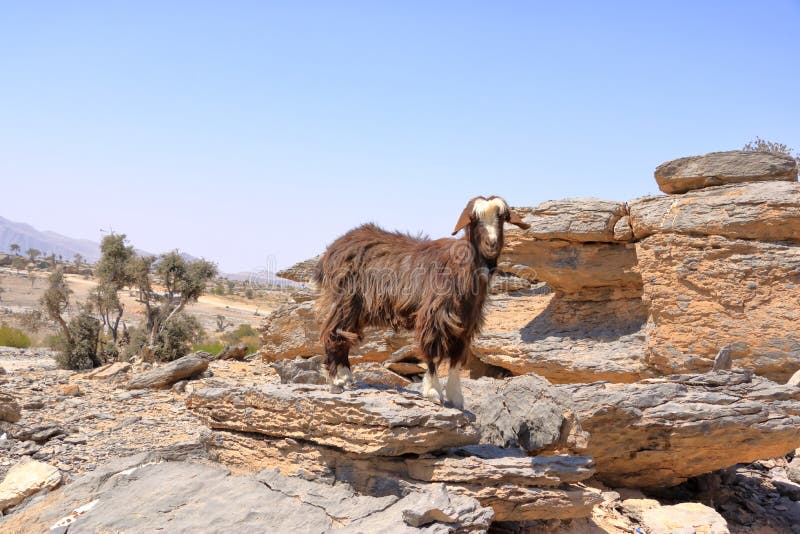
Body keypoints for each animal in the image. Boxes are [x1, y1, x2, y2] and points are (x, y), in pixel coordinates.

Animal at [312, 196, 530, 408]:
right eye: (474, 220)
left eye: (502, 218)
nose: (491, 244)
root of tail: (332, 250)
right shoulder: (434, 317)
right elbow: (432, 353)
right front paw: (433, 392)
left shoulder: (465, 323)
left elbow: (456, 358)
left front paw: (456, 397)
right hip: (344, 301)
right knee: (333, 333)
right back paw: (336, 382)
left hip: (355, 309)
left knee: (345, 334)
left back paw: (346, 378)